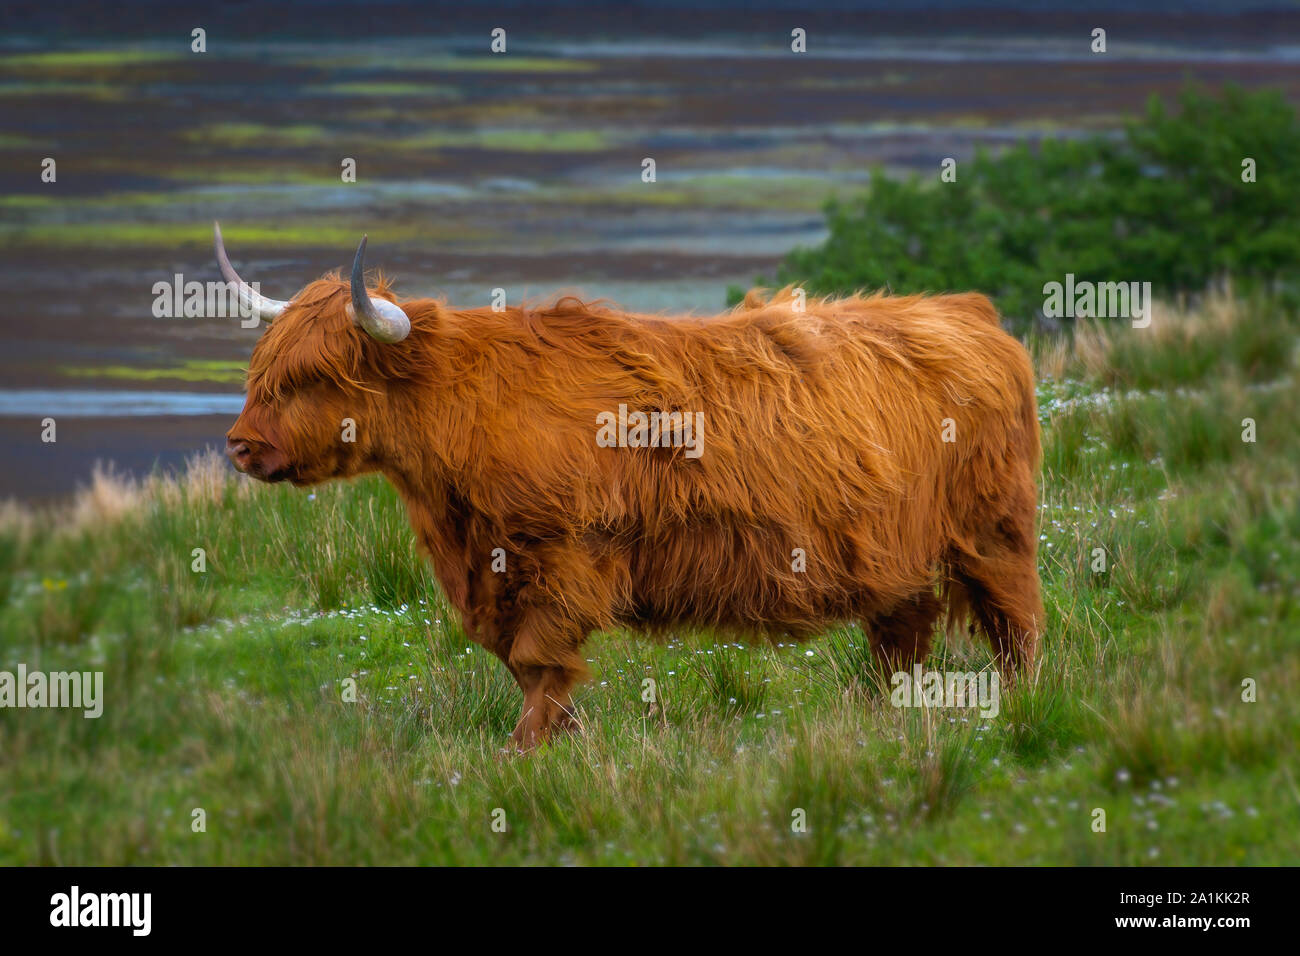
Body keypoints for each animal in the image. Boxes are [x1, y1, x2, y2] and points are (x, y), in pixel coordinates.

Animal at [217, 223, 1044, 750]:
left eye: (311, 377)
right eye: (263, 370)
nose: (240, 446)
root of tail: (966, 311)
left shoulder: (564, 557)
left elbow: (536, 659)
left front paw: (526, 748)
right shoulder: (489, 570)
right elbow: (515, 658)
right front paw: (563, 733)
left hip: (993, 529)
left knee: (1016, 620)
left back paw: (1026, 704)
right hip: (897, 549)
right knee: (902, 631)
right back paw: (878, 712)